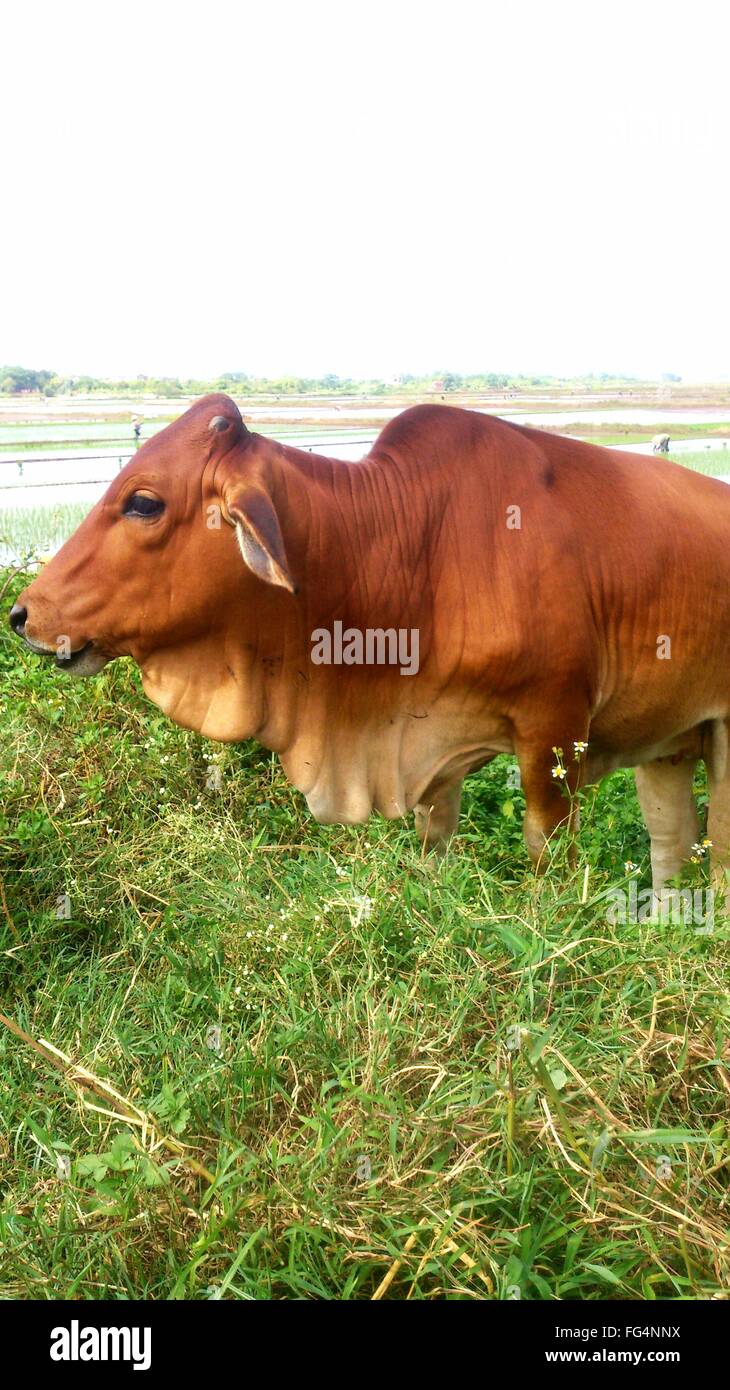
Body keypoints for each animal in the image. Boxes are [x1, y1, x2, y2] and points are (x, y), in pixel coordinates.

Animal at [9, 394, 730, 900]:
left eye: (143, 503)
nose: (21, 614)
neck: (407, 549)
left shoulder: (554, 729)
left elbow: (547, 860)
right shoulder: (431, 748)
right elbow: (434, 847)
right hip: (667, 747)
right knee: (672, 850)